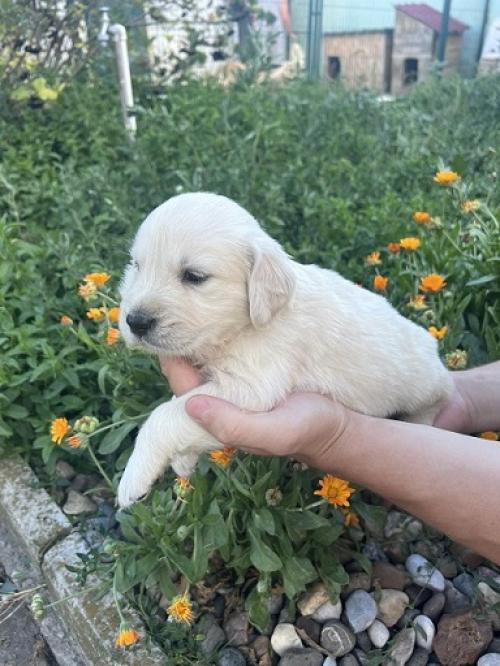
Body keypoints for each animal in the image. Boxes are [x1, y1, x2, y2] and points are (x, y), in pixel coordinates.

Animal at [118, 193, 454, 508]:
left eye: (194, 276)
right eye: (136, 265)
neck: (246, 325)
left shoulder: (252, 386)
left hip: (426, 387)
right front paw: (182, 460)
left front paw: (134, 478)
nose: (135, 321)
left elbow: (165, 415)